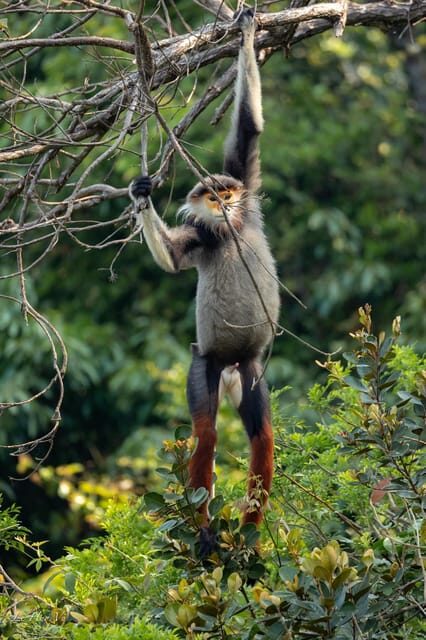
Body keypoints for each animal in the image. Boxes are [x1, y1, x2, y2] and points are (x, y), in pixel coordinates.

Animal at [130, 9, 280, 546]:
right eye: (211, 198)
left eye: (228, 194)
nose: (226, 204)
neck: (228, 229)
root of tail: (231, 363)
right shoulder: (201, 235)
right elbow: (175, 259)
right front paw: (140, 194)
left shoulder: (248, 196)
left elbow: (250, 129)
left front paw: (248, 29)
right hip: (206, 363)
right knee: (206, 434)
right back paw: (205, 532)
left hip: (252, 368)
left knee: (262, 435)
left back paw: (250, 531)